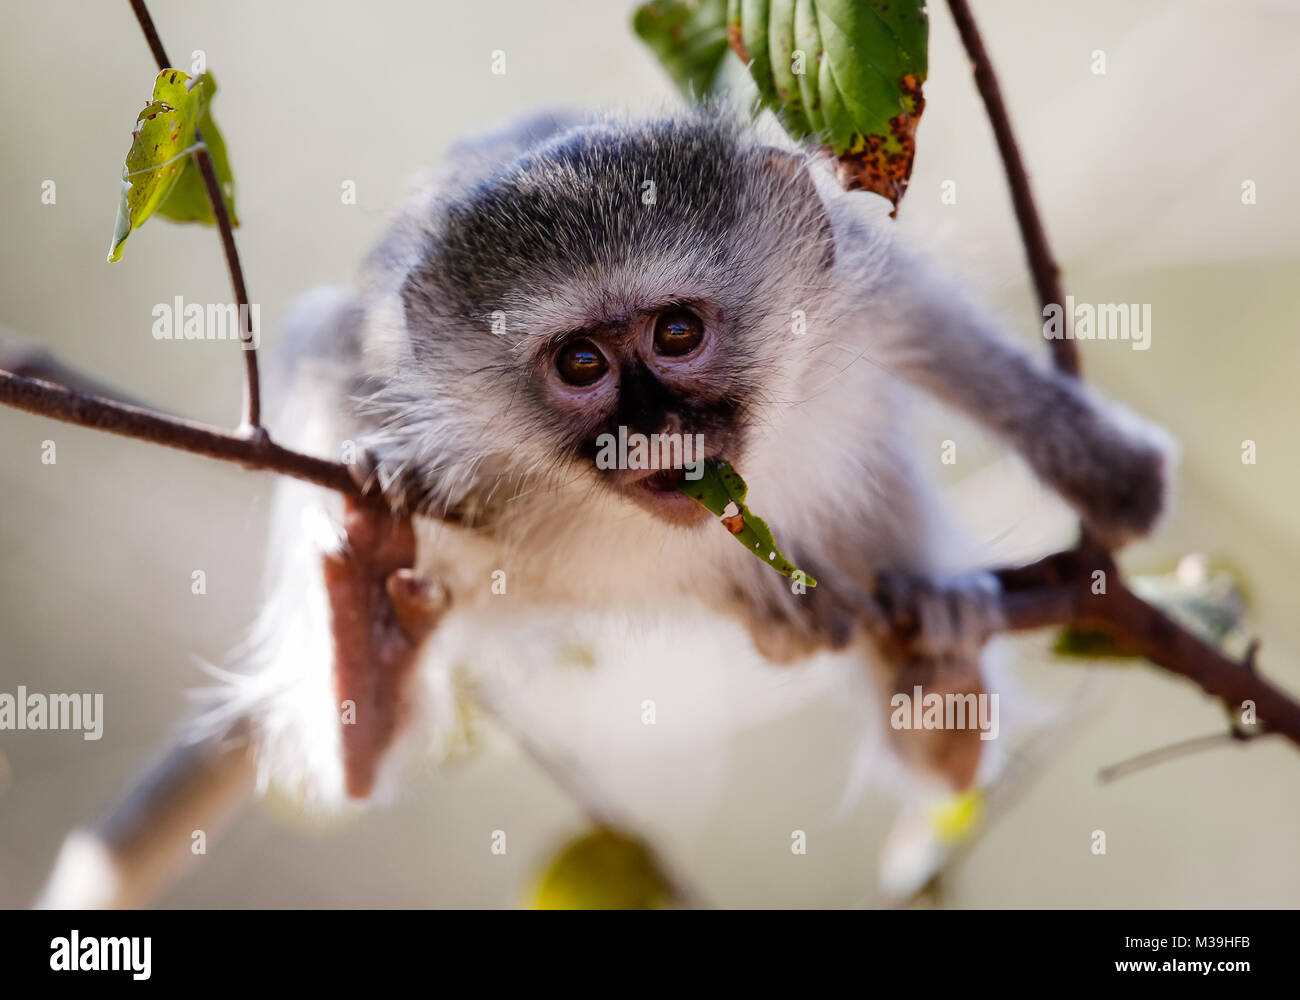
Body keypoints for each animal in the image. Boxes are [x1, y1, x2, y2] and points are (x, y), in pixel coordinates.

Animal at [36, 105, 1173, 906]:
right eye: (581, 364)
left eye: (676, 334)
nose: (654, 426)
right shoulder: (425, 425)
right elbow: (598, 557)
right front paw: (761, 597)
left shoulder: (846, 274)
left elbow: (940, 331)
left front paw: (1103, 468)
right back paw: (367, 649)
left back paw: (937, 687)